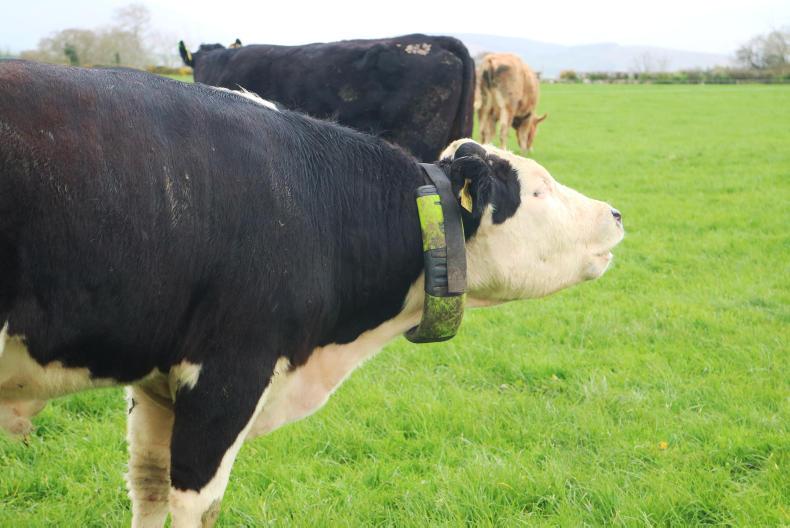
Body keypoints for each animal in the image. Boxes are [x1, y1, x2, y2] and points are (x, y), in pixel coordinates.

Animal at [0, 60, 624, 527]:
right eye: (539, 190)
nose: (614, 213)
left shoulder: (157, 386)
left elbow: (148, 489)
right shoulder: (228, 374)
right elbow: (196, 505)